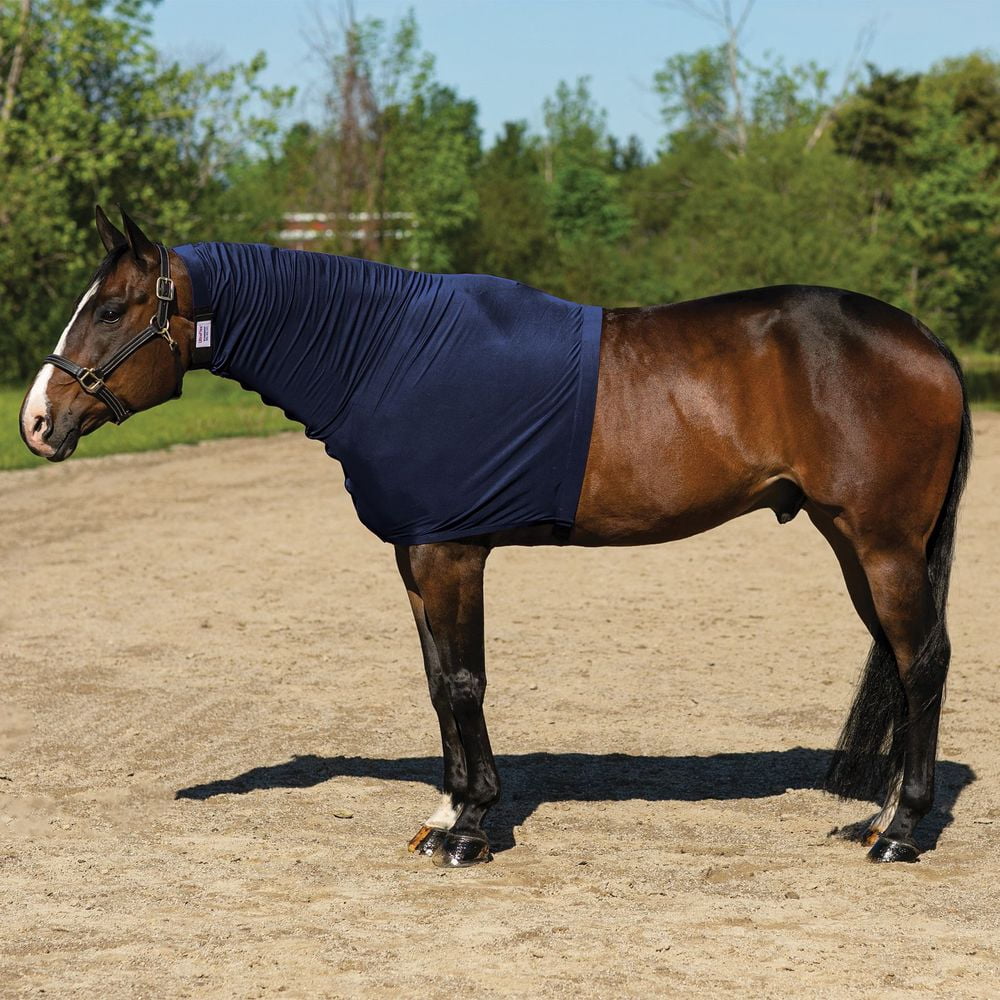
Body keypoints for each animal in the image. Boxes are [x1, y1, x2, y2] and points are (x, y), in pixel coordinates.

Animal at [20, 207, 971, 868]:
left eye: (112, 310)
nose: (35, 422)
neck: (385, 355)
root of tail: (925, 341)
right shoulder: (416, 554)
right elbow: (438, 683)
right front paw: (445, 813)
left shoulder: (452, 552)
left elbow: (465, 682)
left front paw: (472, 829)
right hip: (852, 544)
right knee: (902, 660)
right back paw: (876, 817)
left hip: (882, 545)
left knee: (923, 661)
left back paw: (901, 831)